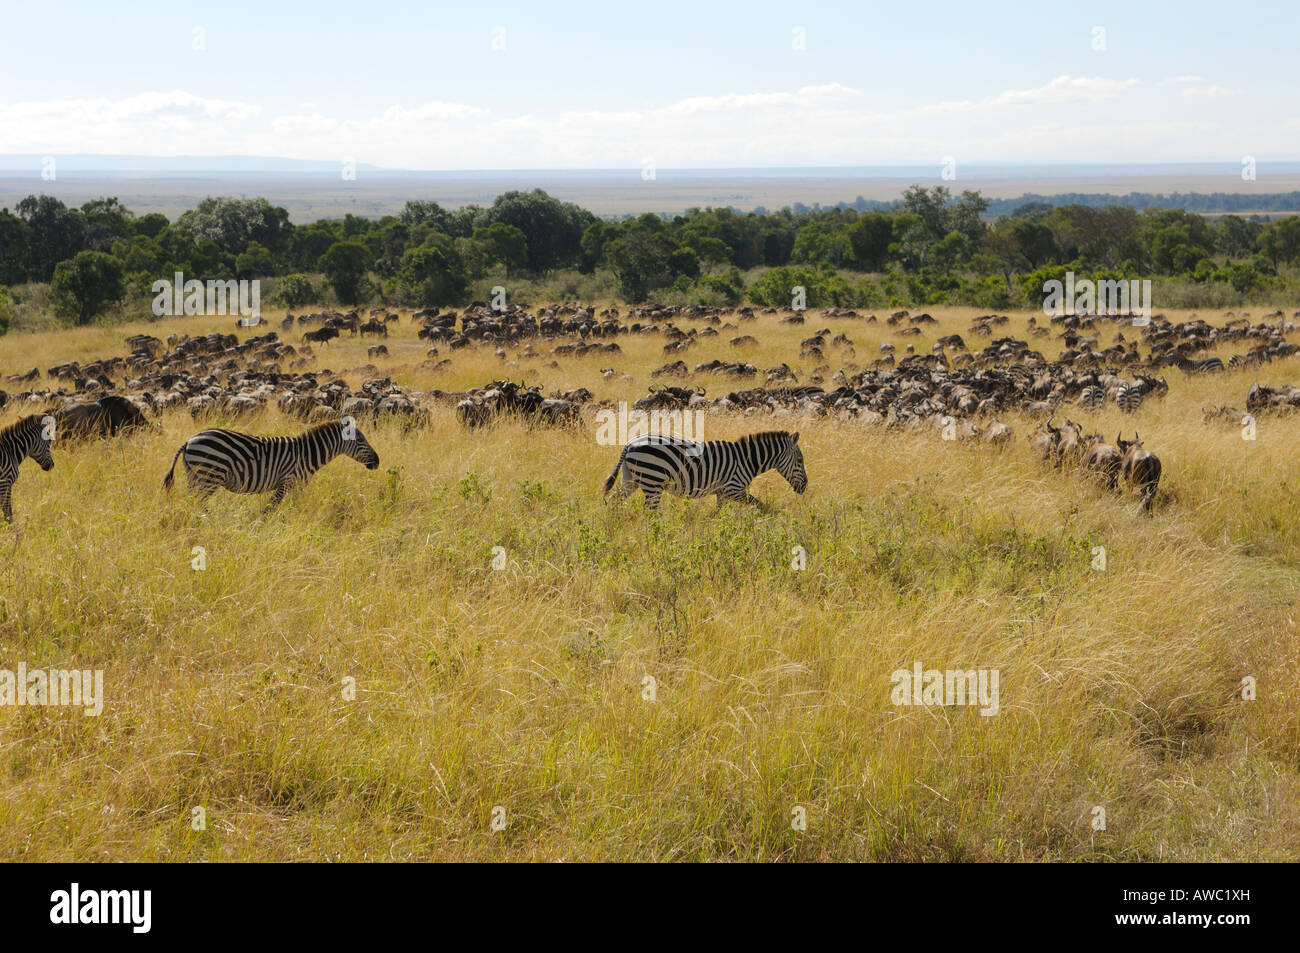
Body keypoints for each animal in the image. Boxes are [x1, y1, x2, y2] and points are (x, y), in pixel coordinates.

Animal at [162, 420, 379, 507]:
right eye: (360, 440)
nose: (377, 462)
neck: (306, 454)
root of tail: (189, 440)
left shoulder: (295, 486)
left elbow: (293, 506)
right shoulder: (287, 481)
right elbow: (271, 508)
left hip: (195, 477)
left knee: (192, 503)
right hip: (209, 476)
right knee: (200, 503)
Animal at [602, 430, 807, 510]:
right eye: (800, 460)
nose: (804, 486)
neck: (747, 460)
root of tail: (629, 444)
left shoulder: (723, 493)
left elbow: (717, 514)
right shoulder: (734, 489)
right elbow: (762, 506)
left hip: (631, 479)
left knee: (613, 500)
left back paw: (615, 523)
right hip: (653, 481)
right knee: (649, 513)